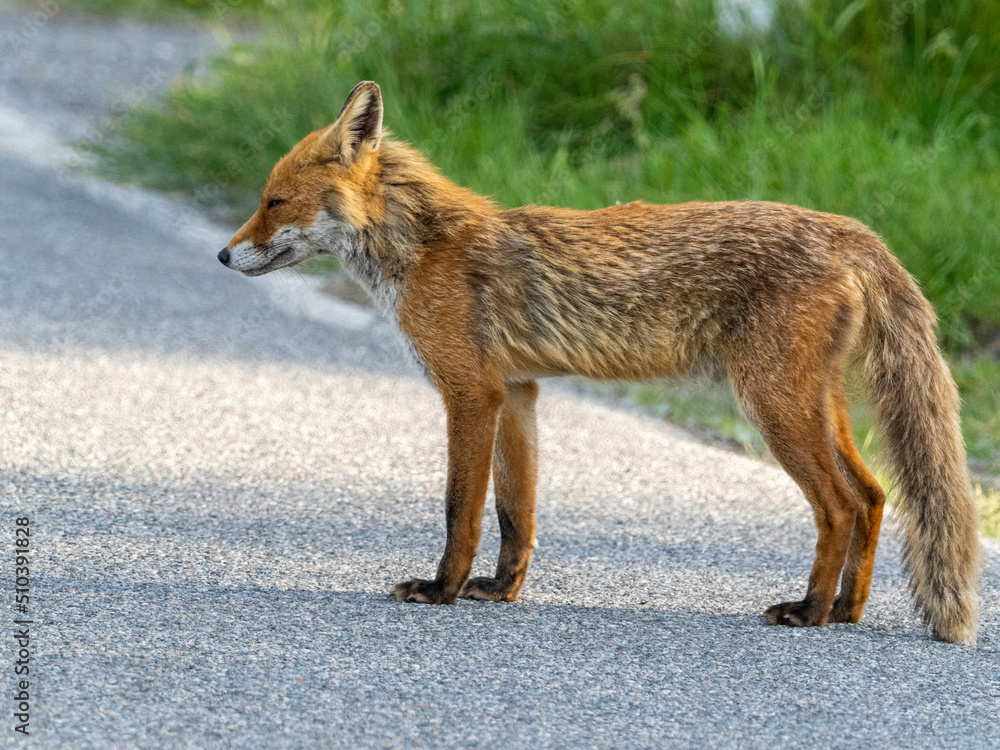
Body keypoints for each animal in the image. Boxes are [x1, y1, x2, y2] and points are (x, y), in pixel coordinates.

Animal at [219, 81, 982, 644]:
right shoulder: (517, 392)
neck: (424, 247)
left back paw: (811, 612)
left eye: (274, 202)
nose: (223, 256)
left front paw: (442, 590)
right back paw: (849, 612)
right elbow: (515, 515)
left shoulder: (469, 392)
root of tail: (849, 229)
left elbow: (461, 511)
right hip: (815, 404)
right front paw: (499, 591)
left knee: (840, 505)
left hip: (772, 406)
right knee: (876, 494)